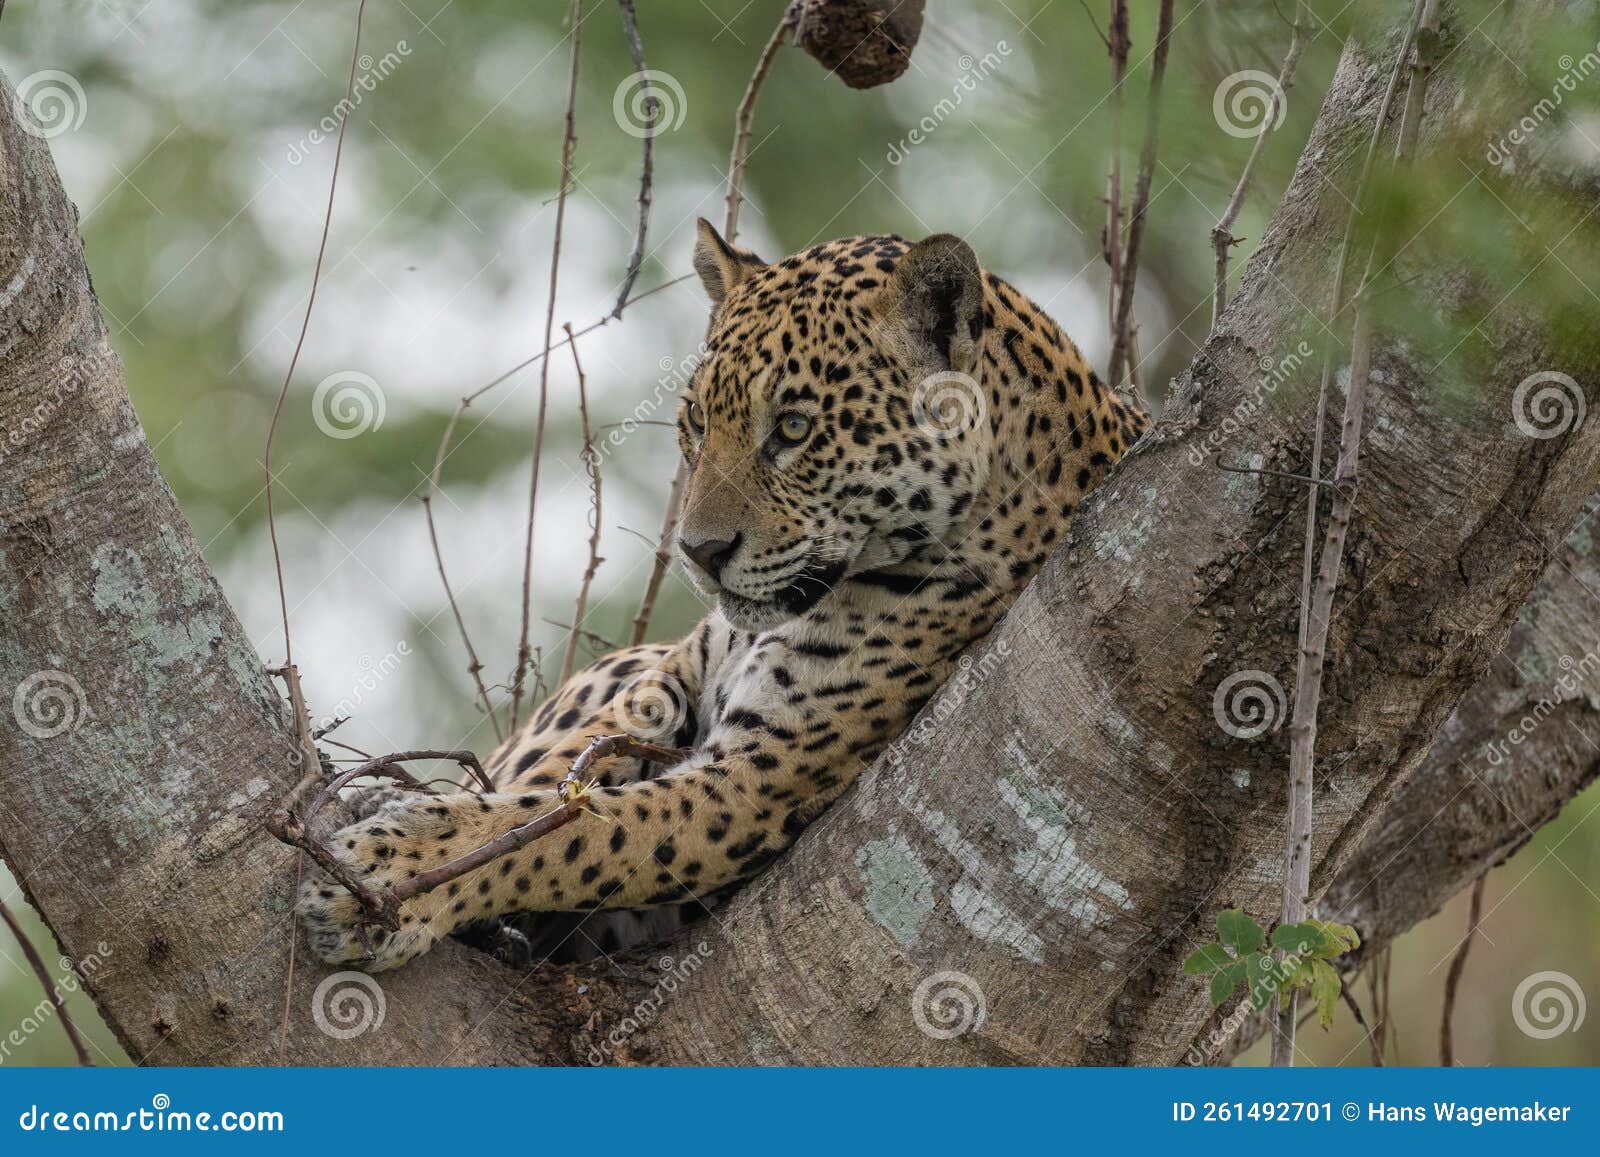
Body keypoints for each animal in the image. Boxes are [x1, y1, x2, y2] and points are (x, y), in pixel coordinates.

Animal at [297, 219, 1148, 971]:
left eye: (796, 428)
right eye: (698, 423)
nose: (701, 553)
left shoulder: (754, 780)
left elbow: (575, 832)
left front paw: (395, 873)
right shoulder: (664, 677)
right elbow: (553, 776)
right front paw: (420, 821)